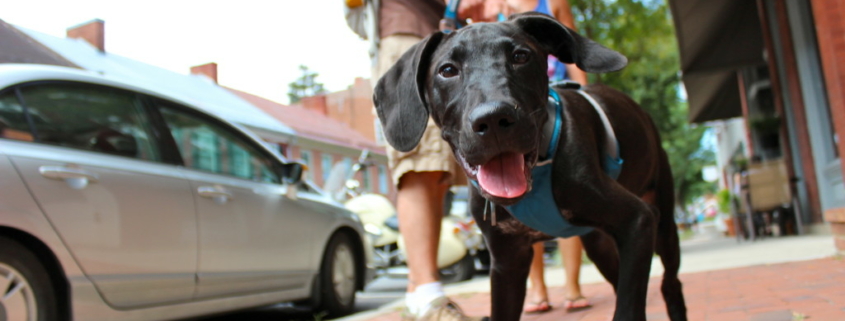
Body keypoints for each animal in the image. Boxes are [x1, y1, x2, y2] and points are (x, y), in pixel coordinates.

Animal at [374, 13, 684, 320]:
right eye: (447, 70)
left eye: (521, 56)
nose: (493, 119)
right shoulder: (507, 261)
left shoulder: (638, 220)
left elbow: (628, 308)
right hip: (599, 244)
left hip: (662, 222)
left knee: (669, 283)